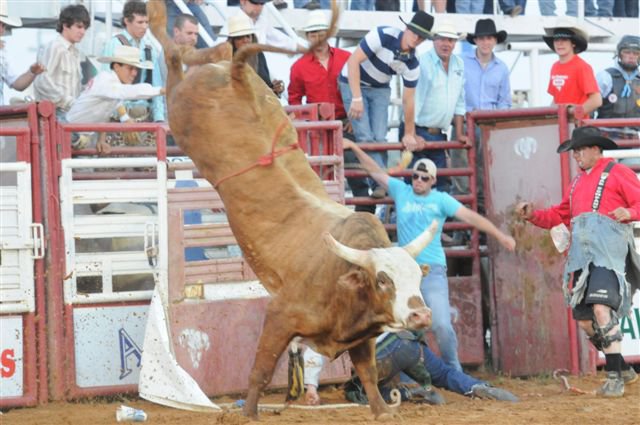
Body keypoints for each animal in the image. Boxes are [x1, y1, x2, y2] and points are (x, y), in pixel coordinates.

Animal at [147, 1, 437, 420]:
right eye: (383, 280)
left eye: (417, 276)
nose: (421, 315)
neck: (338, 270)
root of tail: (237, 77)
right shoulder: (280, 315)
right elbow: (262, 367)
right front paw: (250, 413)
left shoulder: (359, 336)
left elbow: (367, 373)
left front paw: (382, 410)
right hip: (178, 107)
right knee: (173, 57)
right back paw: (157, 18)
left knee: (204, 55)